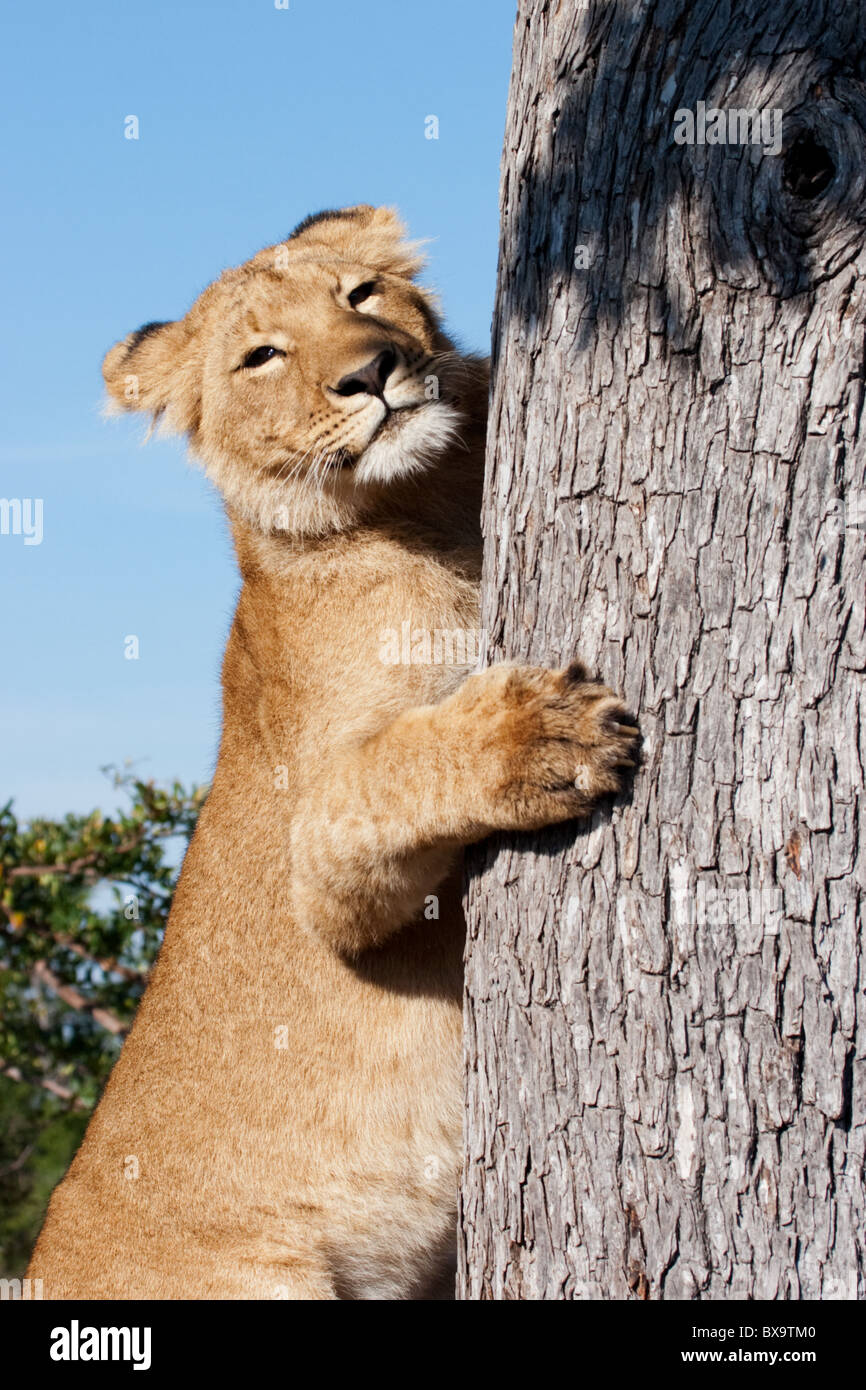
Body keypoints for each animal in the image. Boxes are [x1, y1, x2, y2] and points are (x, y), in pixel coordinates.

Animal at [27, 205, 639, 1299]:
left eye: (359, 295)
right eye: (261, 356)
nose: (373, 370)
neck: (433, 502)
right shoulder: (321, 857)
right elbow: (396, 771)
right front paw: (546, 732)